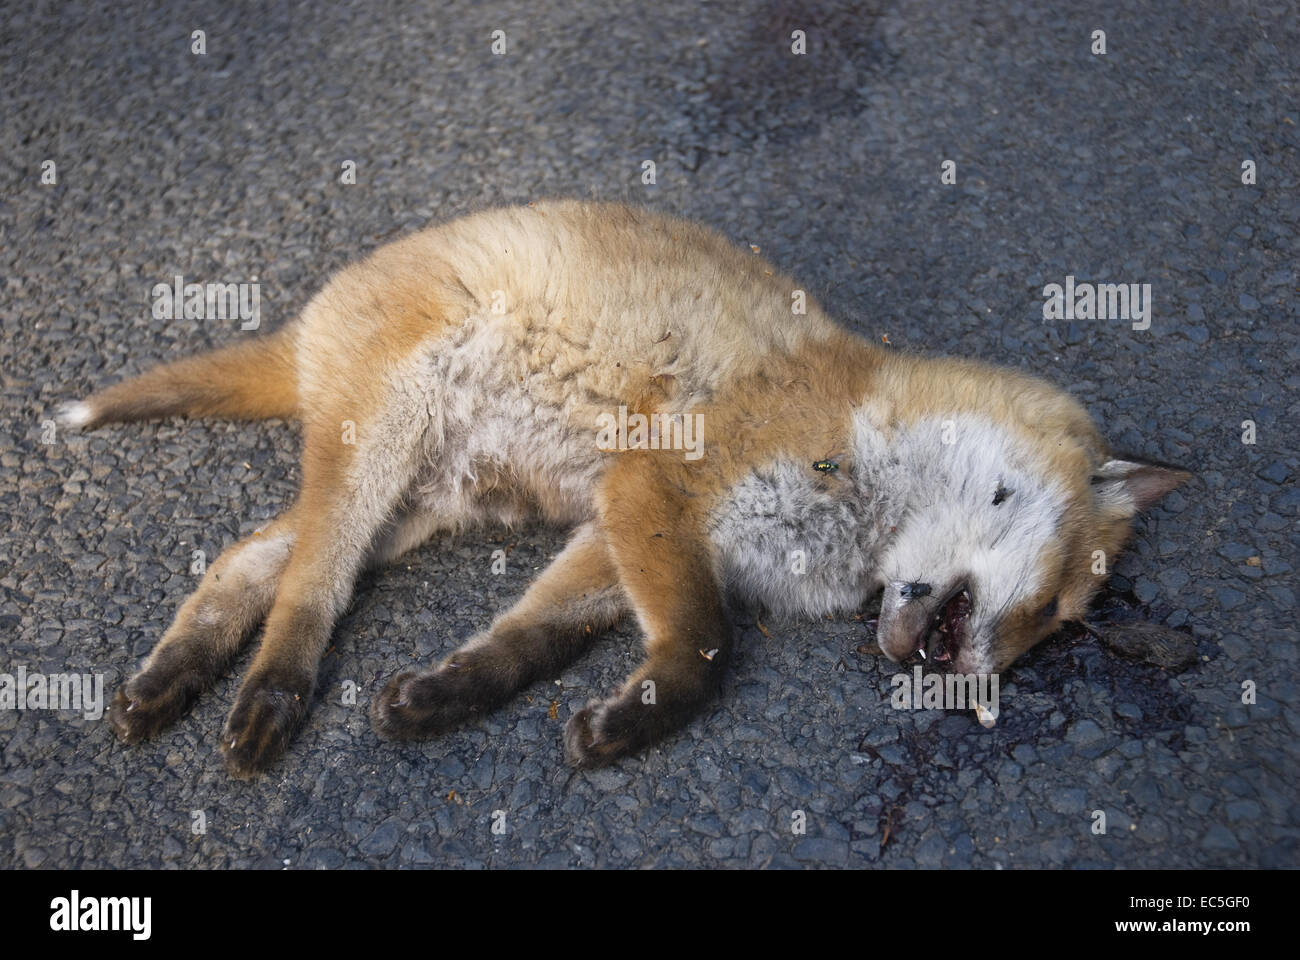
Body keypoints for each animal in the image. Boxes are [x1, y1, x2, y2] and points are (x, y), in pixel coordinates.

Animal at [59, 199, 1191, 778]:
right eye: (1053, 608)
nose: (971, 686)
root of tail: (314, 311)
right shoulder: (659, 488)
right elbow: (705, 649)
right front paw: (627, 729)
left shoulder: (615, 528)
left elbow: (528, 643)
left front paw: (440, 701)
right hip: (383, 453)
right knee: (309, 588)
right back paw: (268, 696)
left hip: (435, 500)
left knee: (249, 557)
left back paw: (169, 679)